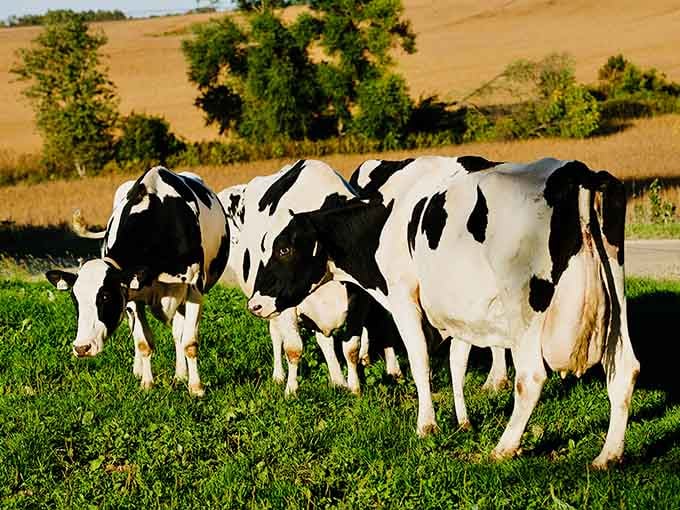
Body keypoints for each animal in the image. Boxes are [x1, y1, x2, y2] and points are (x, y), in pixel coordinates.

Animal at [46, 166, 230, 397]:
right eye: (74, 299)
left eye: (105, 296)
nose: (82, 348)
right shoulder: (132, 296)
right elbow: (143, 342)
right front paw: (147, 383)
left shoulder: (194, 288)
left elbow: (189, 342)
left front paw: (196, 388)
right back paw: (140, 371)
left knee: (178, 334)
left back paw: (180, 375)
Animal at [217, 174, 403, 395]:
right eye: (263, 249)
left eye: (284, 250)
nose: (254, 305)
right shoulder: (286, 305)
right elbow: (293, 348)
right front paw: (291, 390)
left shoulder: (359, 300)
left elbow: (351, 348)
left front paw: (354, 388)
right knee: (276, 335)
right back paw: (279, 376)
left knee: (326, 341)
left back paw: (338, 380)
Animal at [246, 156, 640, 468]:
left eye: (283, 249)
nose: (255, 303)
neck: (388, 218)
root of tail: (574, 171)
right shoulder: (460, 311)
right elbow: (457, 364)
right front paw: (462, 421)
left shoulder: (403, 299)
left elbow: (420, 359)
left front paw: (427, 425)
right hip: (617, 295)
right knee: (625, 370)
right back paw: (609, 455)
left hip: (524, 307)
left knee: (530, 378)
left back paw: (504, 447)